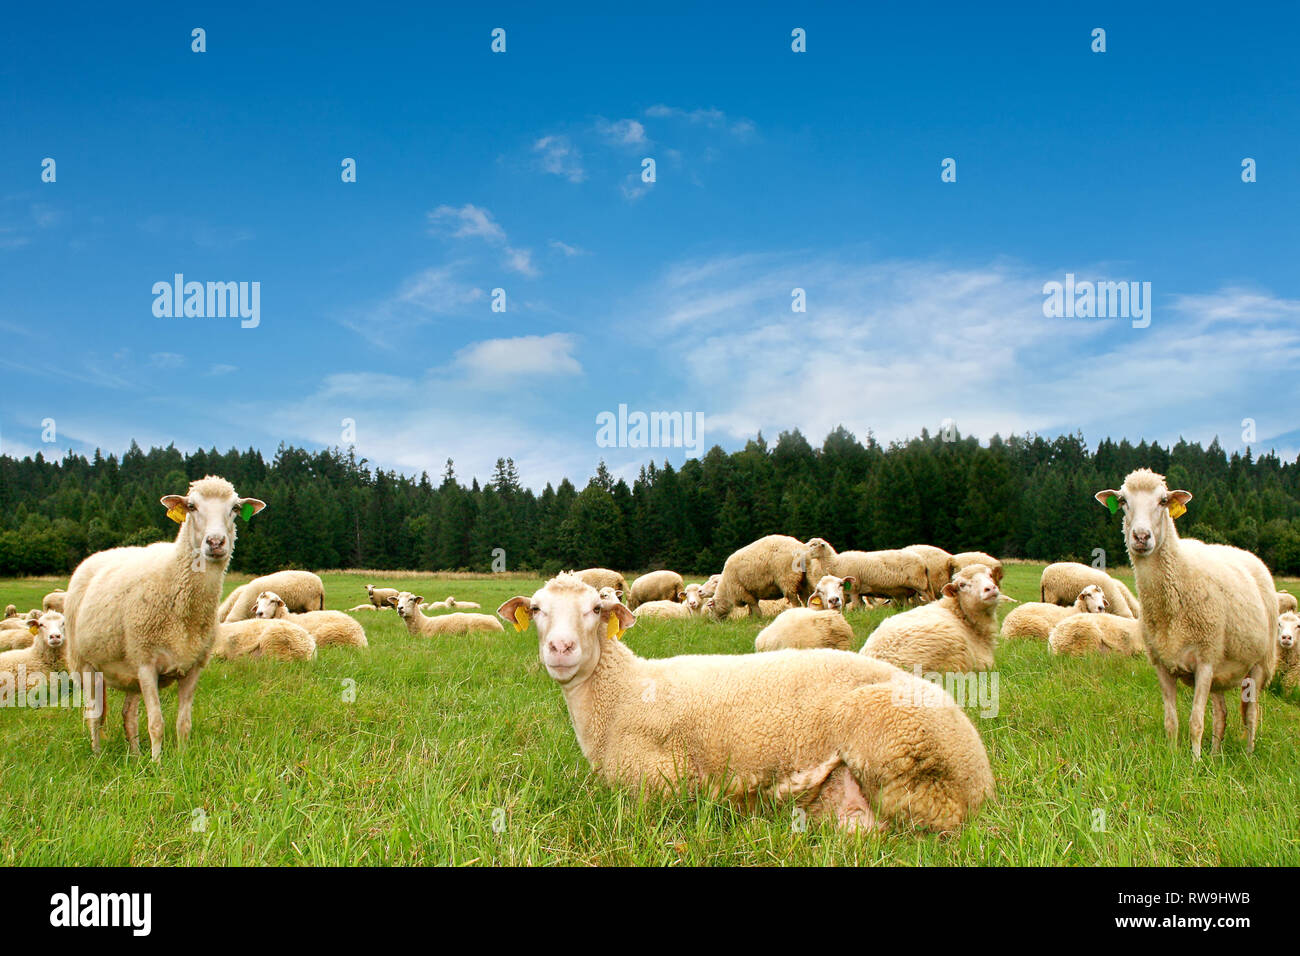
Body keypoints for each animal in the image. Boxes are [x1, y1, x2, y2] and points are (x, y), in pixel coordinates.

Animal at [63, 475, 266, 758]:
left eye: (235, 508)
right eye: (191, 506)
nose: (215, 542)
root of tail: (95, 557)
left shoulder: (193, 666)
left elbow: (183, 723)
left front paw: (181, 758)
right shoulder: (147, 664)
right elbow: (156, 723)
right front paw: (157, 763)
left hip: (130, 670)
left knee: (128, 715)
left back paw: (136, 756)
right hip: (85, 663)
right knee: (93, 715)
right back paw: (97, 754)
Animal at [497, 573, 994, 832]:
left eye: (597, 610)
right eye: (537, 609)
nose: (561, 648)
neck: (621, 692)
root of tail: (982, 777)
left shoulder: (658, 785)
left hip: (897, 749)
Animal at [1096, 468, 1277, 758]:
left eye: (1163, 501)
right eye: (1123, 501)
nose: (1141, 537)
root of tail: (1246, 554)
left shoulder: (1204, 661)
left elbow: (1195, 721)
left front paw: (1194, 762)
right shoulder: (1162, 663)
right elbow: (1172, 721)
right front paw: (1172, 757)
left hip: (1258, 662)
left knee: (1251, 714)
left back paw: (1248, 754)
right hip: (1219, 668)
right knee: (1221, 714)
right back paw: (1215, 755)